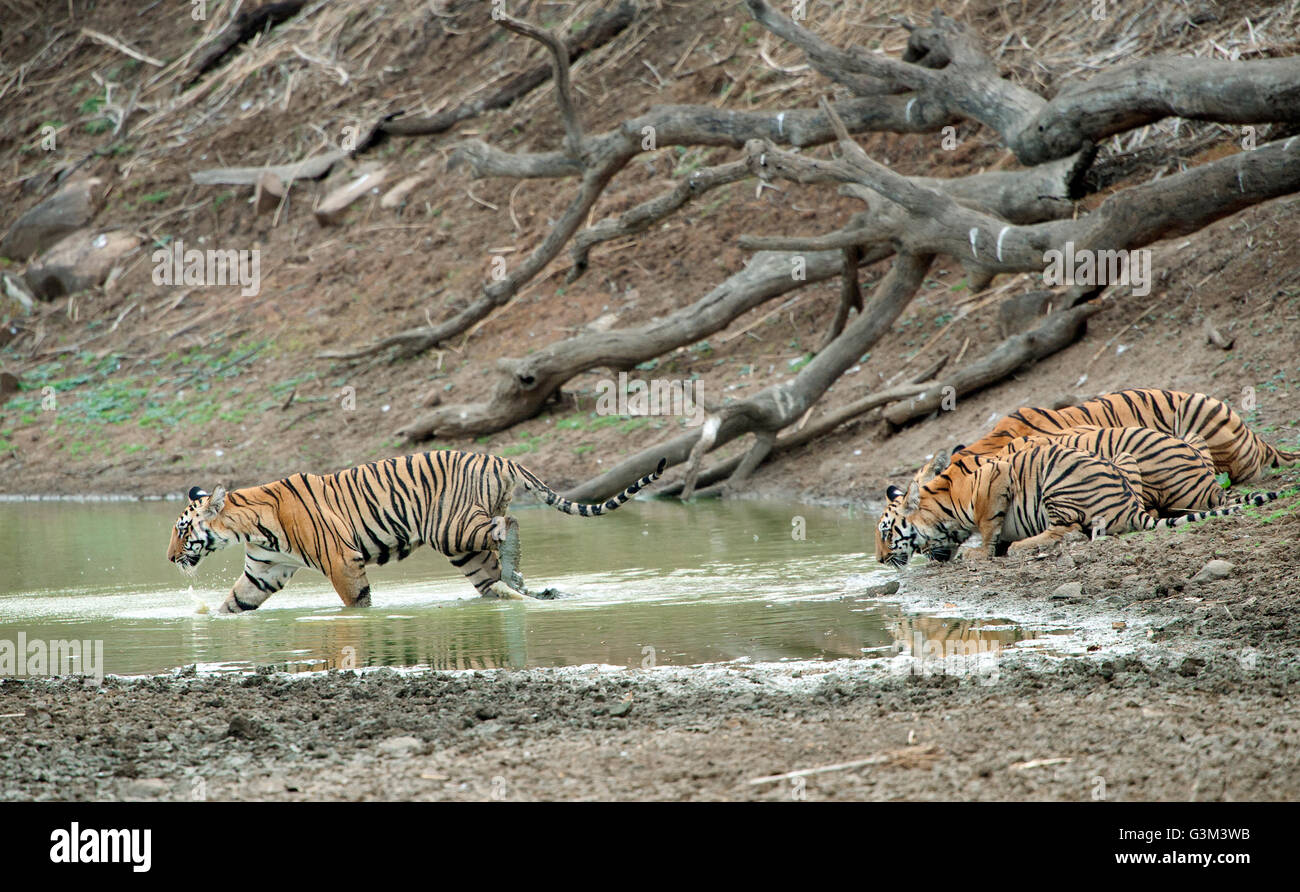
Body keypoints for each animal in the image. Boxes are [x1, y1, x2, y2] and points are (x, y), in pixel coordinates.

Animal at [166, 451, 666, 613]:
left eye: (183, 530)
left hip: (453, 529)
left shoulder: (342, 562)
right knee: (495, 571)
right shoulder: (264, 570)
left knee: (508, 524)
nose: (170, 559)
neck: (250, 527)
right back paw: (517, 584)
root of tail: (502, 458)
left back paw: (518, 577)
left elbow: (357, 604)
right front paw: (208, 621)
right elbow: (236, 603)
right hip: (466, 551)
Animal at [874, 442, 1277, 567]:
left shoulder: (996, 481)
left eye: (885, 532)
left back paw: (1022, 546)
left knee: (1070, 532)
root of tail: (1130, 505)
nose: (878, 560)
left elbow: (988, 525)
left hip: (1056, 485)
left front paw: (979, 552)